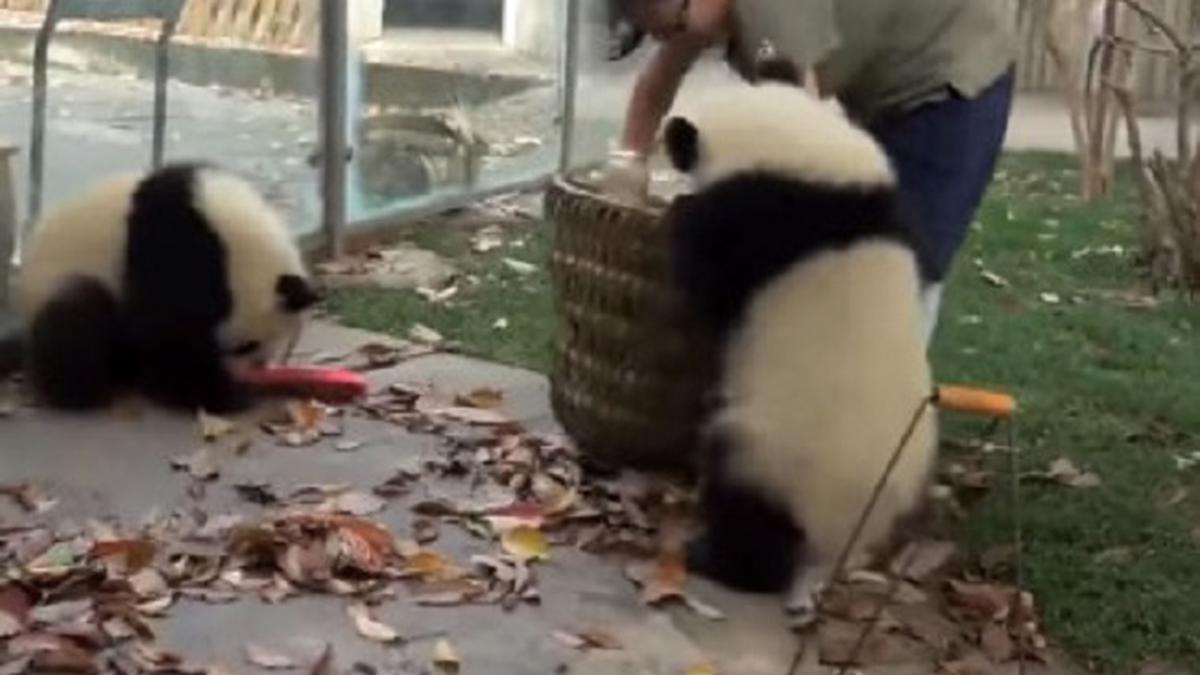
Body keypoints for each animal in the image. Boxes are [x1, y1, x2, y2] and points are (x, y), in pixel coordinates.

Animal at [9, 162, 319, 413]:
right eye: (247, 345)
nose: (248, 373)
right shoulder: (173, 247)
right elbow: (169, 333)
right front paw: (222, 394)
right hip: (60, 283)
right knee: (78, 310)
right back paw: (85, 393)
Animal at [661, 81, 939, 618]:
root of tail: (836, 545)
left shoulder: (758, 215)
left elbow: (706, 273)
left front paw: (677, 210)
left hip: (773, 453)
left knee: (745, 503)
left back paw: (715, 558)